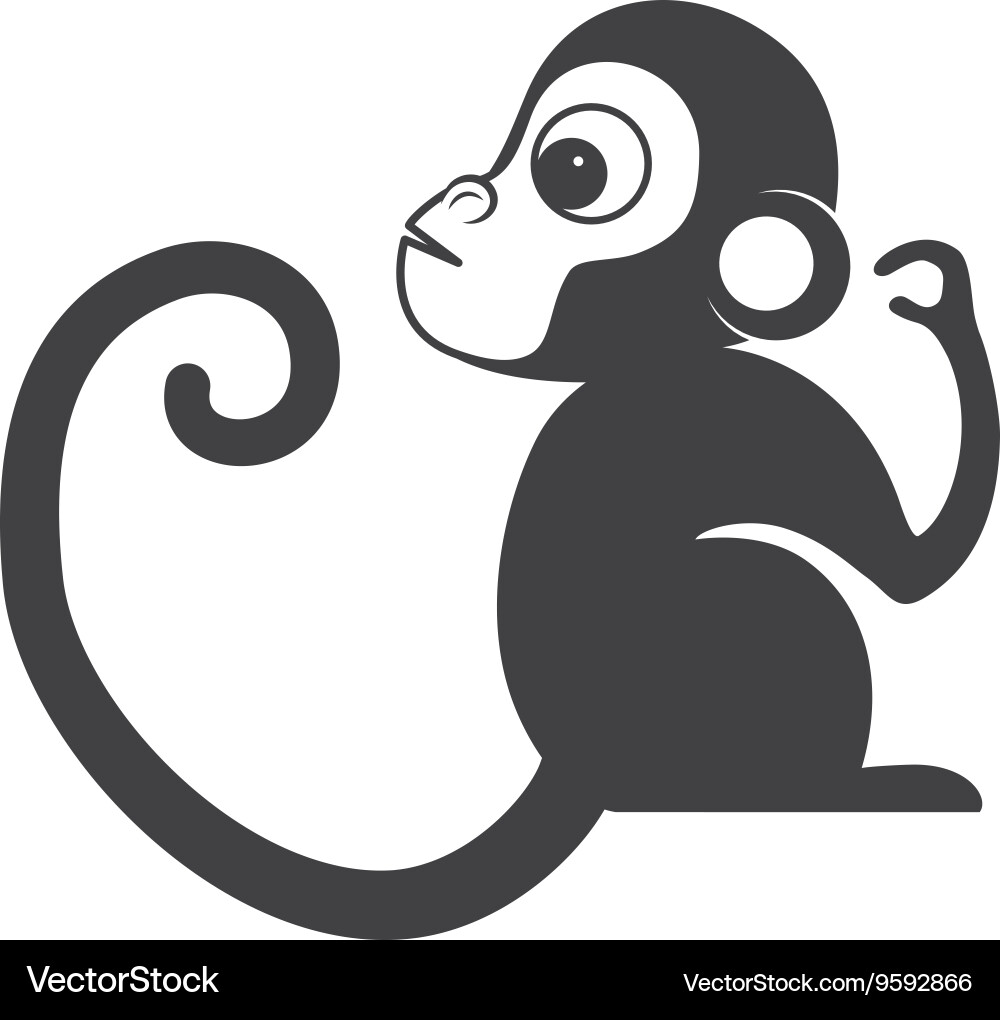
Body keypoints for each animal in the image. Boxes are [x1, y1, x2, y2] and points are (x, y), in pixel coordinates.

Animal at [2, 2, 996, 939]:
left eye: (575, 169)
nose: (463, 194)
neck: (655, 347)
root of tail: (585, 771)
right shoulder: (769, 407)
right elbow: (907, 573)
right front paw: (943, 305)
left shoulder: (764, 397)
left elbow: (907, 576)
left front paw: (936, 301)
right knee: (770, 587)